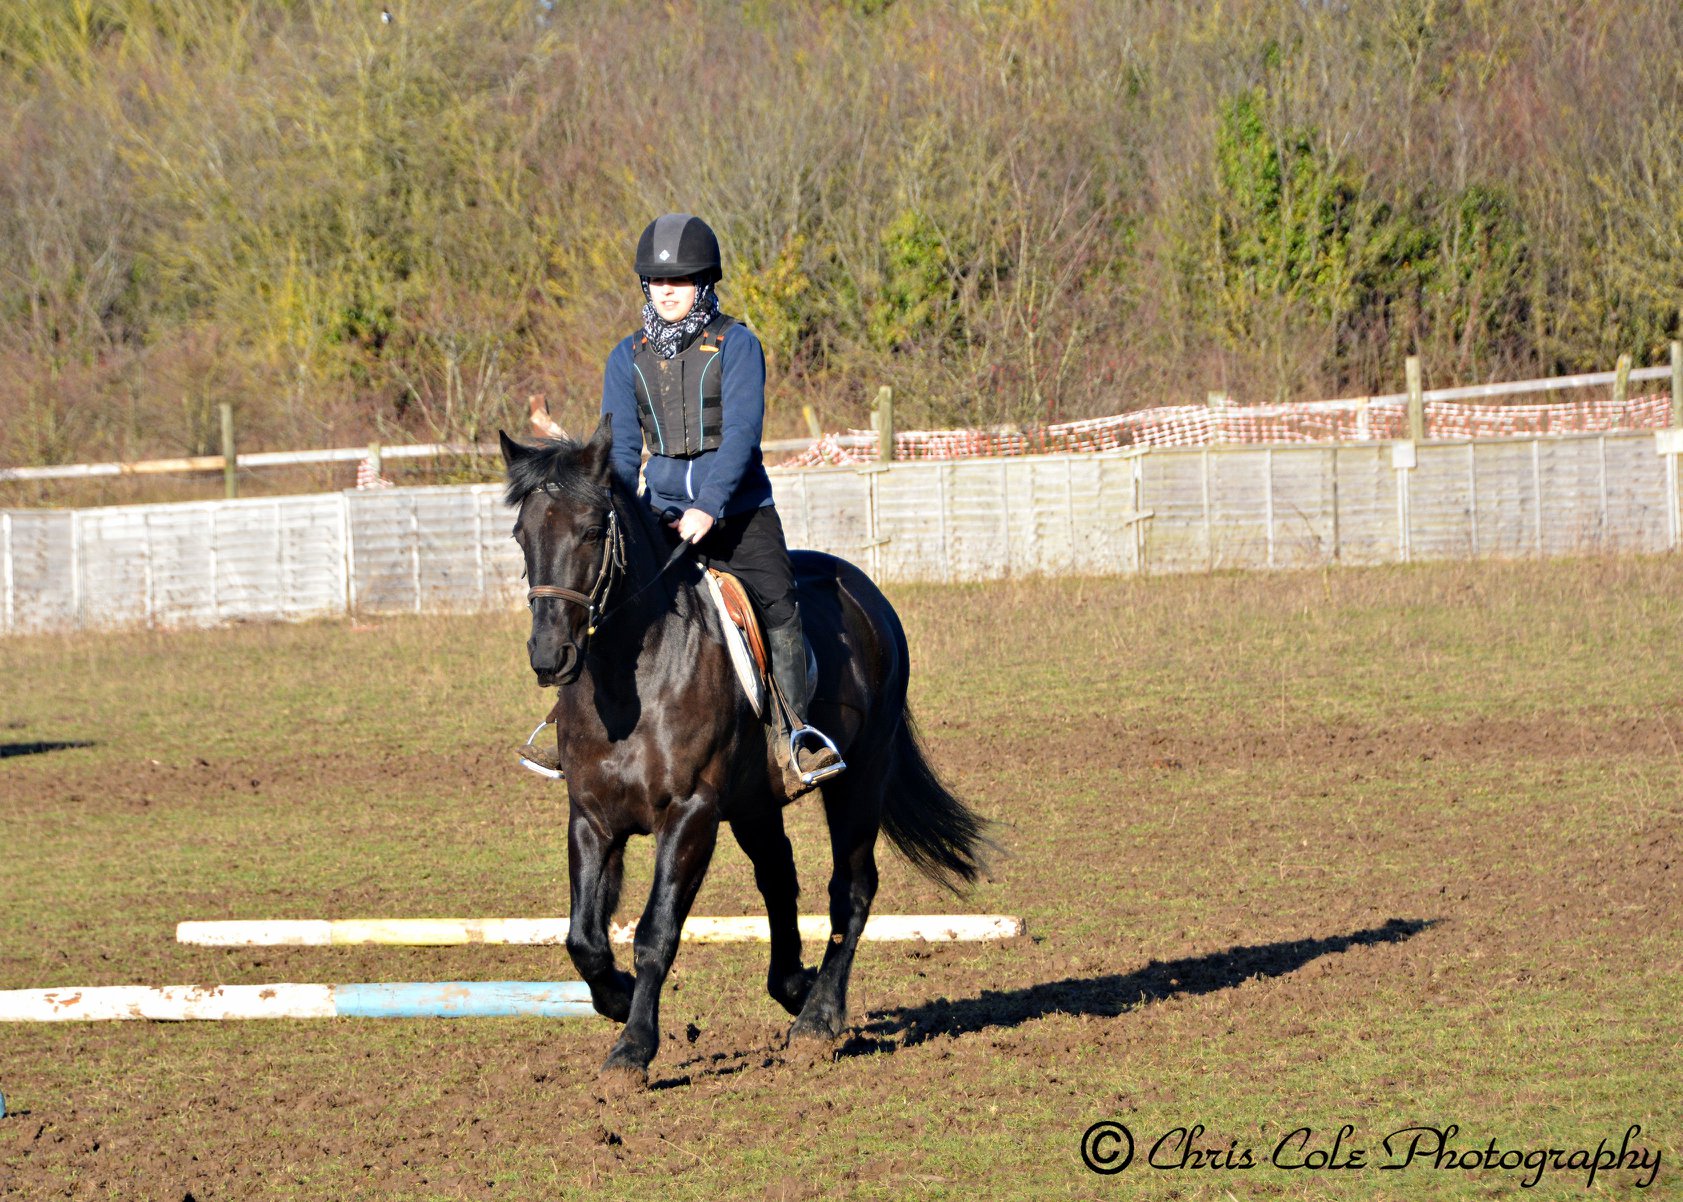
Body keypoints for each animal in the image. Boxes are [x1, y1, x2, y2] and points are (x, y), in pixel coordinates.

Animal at [500, 418, 991, 1088]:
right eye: (523, 534)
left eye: (594, 531)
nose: (551, 658)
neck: (635, 675)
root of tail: (868, 594)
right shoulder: (592, 817)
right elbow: (584, 938)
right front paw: (619, 1000)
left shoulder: (690, 814)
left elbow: (655, 933)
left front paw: (633, 1049)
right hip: (756, 804)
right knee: (779, 878)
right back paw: (795, 988)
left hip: (859, 779)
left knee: (852, 888)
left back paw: (818, 1020)